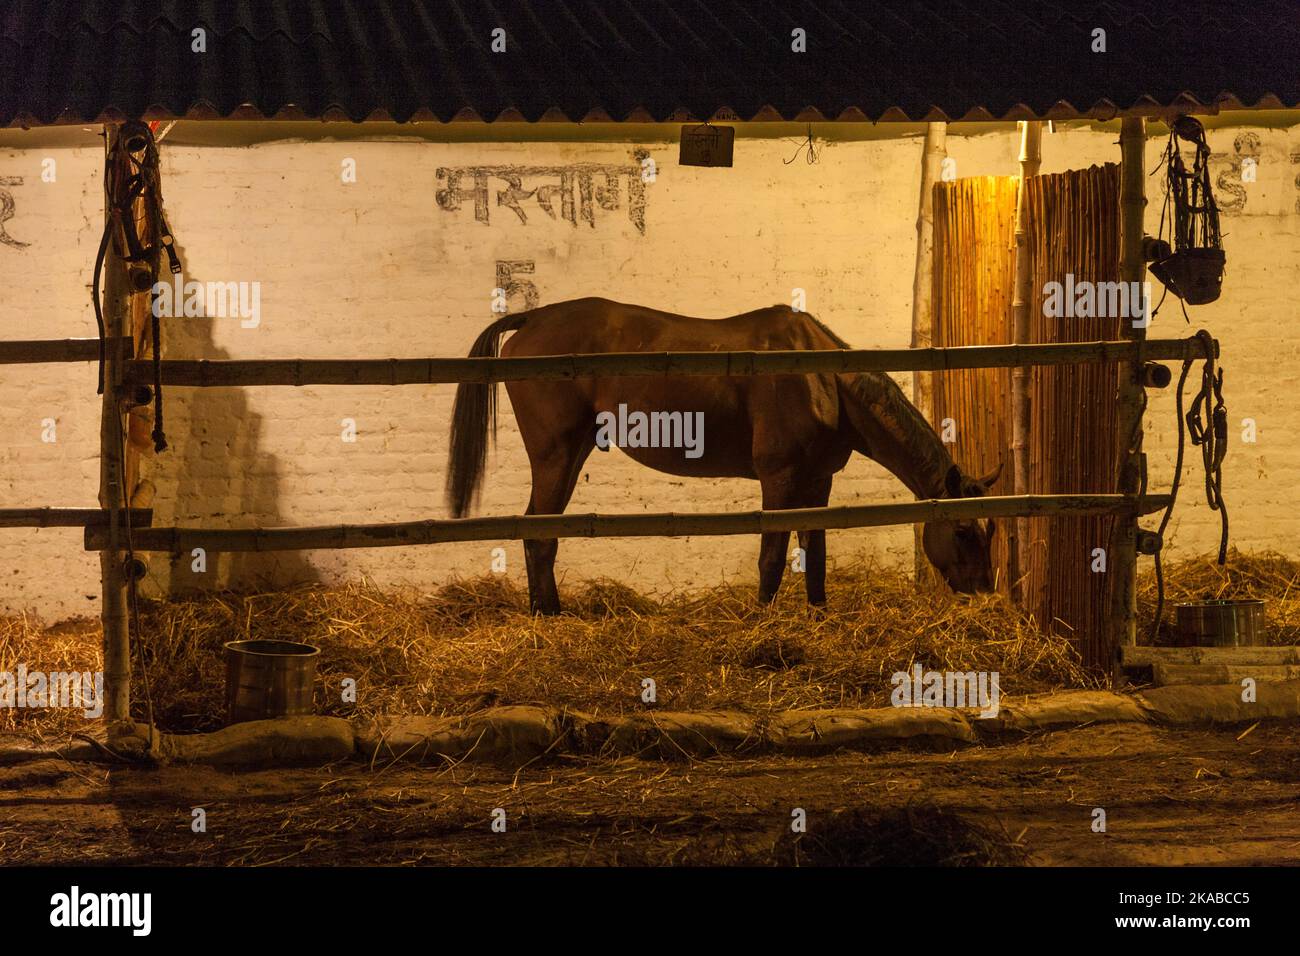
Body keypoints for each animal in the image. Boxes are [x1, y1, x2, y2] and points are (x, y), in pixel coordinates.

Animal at [445, 298, 999, 614]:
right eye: (963, 531)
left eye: (990, 529)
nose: (984, 592)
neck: (821, 378)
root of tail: (533, 318)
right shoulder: (780, 478)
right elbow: (772, 555)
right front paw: (763, 623)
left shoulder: (817, 481)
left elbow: (815, 553)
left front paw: (818, 616)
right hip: (556, 456)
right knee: (537, 533)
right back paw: (548, 616)